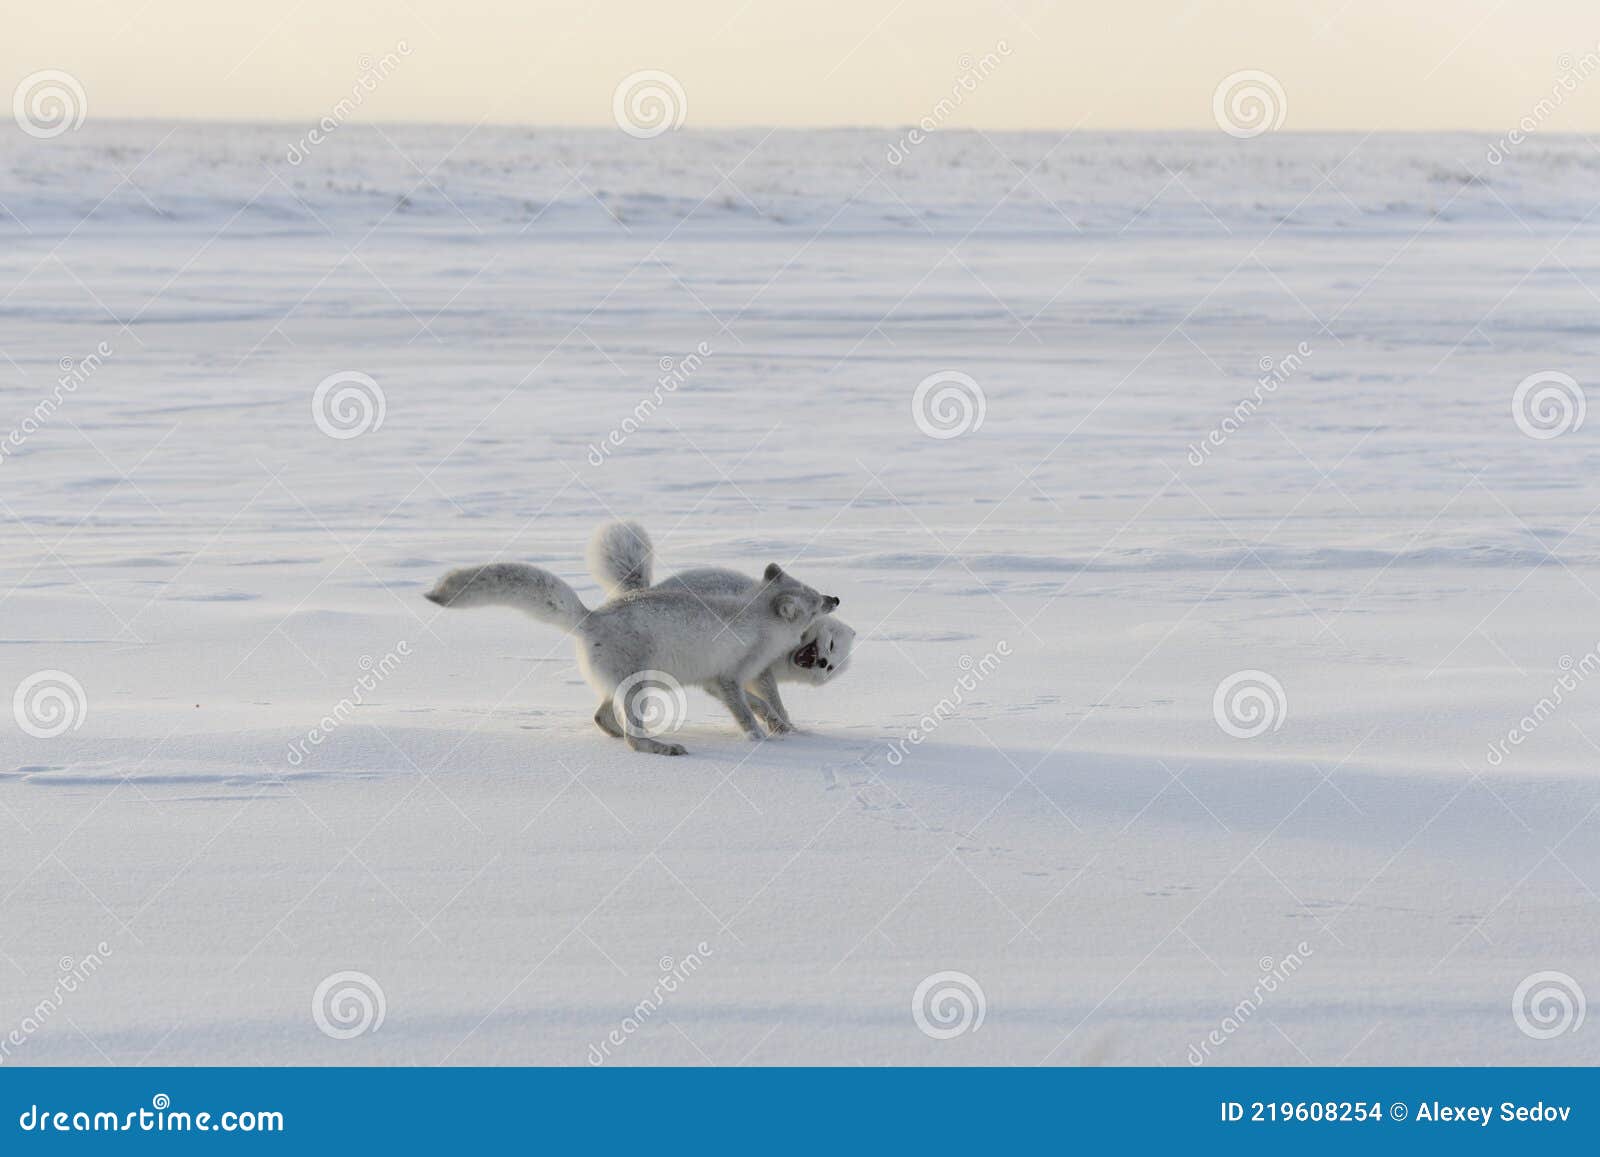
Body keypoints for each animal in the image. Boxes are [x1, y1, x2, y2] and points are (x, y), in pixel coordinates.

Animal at [424, 555, 839, 755]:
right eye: (815, 602)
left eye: (815, 591)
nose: (836, 597)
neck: (756, 622)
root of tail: (591, 617)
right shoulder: (727, 678)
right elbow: (746, 712)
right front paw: (761, 740)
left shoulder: (712, 681)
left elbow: (761, 704)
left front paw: (779, 725)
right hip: (639, 688)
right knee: (631, 736)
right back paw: (659, 747)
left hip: (633, 684)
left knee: (602, 716)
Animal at [586, 520, 856, 734]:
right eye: (831, 645)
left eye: (831, 667)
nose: (835, 599)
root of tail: (638, 591)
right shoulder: (738, 673)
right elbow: (766, 702)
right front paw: (782, 728)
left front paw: (783, 726)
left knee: (603, 711)